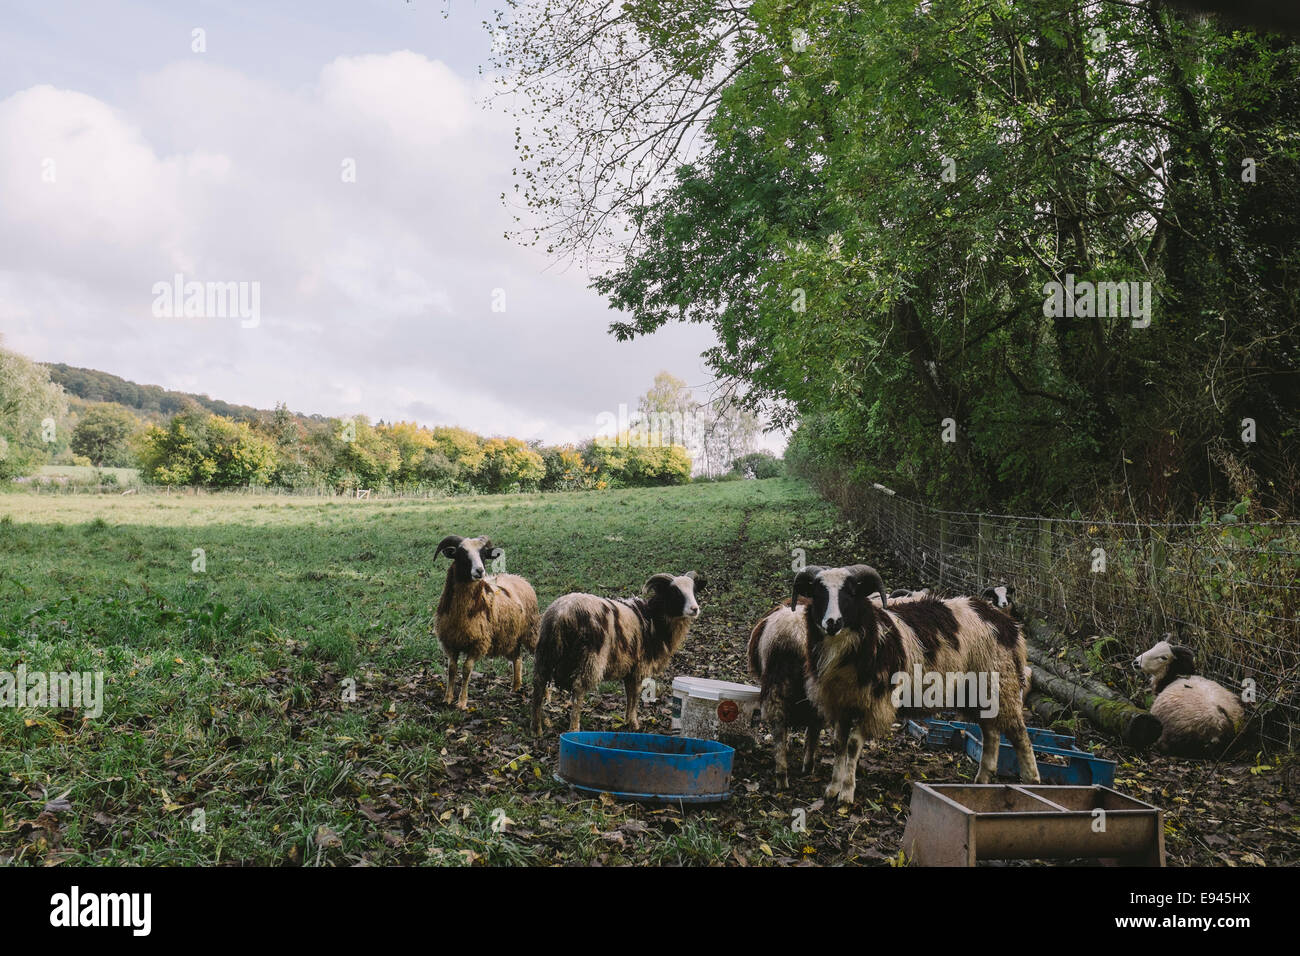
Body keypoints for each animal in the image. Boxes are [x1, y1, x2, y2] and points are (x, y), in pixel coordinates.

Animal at [434, 534, 540, 710]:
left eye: (483, 554)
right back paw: (515, 687)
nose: (479, 571)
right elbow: (452, 669)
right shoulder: (450, 642)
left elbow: (466, 669)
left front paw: (462, 702)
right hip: (511, 637)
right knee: (517, 659)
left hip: (531, 631)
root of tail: (518, 577)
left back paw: (546, 696)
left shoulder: (478, 643)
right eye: (461, 554)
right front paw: (447, 699)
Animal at [531, 571, 706, 735]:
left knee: (538, 683)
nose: (695, 609)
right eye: (675, 592)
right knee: (578, 689)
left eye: (694, 591)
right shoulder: (640, 666)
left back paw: (537, 728)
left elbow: (629, 694)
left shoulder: (631, 667)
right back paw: (574, 728)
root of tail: (562, 614)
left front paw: (627, 720)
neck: (654, 619)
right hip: (591, 657)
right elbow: (635, 694)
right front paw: (634, 723)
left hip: (546, 651)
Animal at [747, 598, 824, 789]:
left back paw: (782, 775)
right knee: (813, 724)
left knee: (779, 721)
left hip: (776, 679)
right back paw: (807, 767)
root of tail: (795, 631)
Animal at [793, 564, 1039, 804]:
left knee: (1020, 734)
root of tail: (1005, 622)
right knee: (991, 733)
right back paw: (982, 780)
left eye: (851, 592)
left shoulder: (877, 704)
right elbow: (839, 744)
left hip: (1002, 684)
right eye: (817, 592)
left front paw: (846, 794)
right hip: (979, 692)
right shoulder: (840, 702)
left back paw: (1031, 781)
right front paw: (832, 789)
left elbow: (852, 744)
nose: (832, 622)